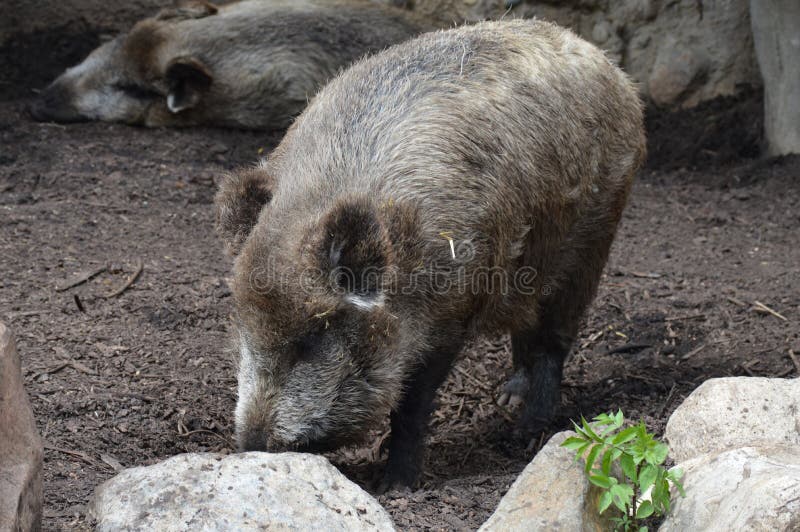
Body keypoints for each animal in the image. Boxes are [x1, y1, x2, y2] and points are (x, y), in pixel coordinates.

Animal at [215, 18, 646, 489]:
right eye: (244, 327)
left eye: (311, 339)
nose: (251, 444)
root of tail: (611, 69)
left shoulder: (450, 314)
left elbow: (413, 404)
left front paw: (397, 486)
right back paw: (507, 398)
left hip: (593, 239)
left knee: (555, 338)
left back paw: (526, 435)